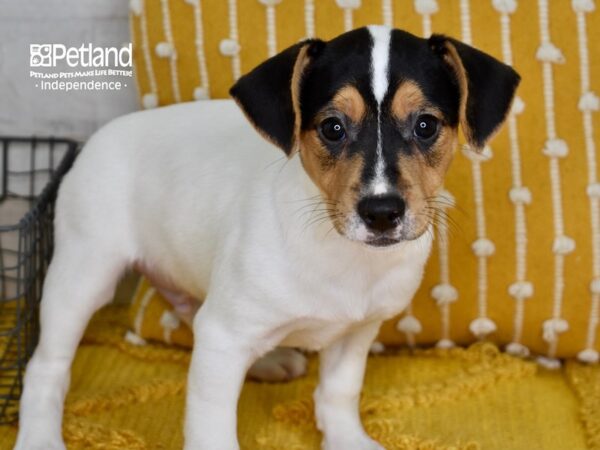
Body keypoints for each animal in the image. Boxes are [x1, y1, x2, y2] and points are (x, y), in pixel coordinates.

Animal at [16, 25, 516, 450]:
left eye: (426, 125)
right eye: (332, 127)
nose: (381, 212)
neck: (340, 250)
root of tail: (102, 135)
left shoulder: (356, 332)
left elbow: (338, 392)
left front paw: (347, 439)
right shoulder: (222, 338)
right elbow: (213, 428)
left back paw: (267, 360)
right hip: (83, 275)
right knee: (45, 369)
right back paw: (40, 436)